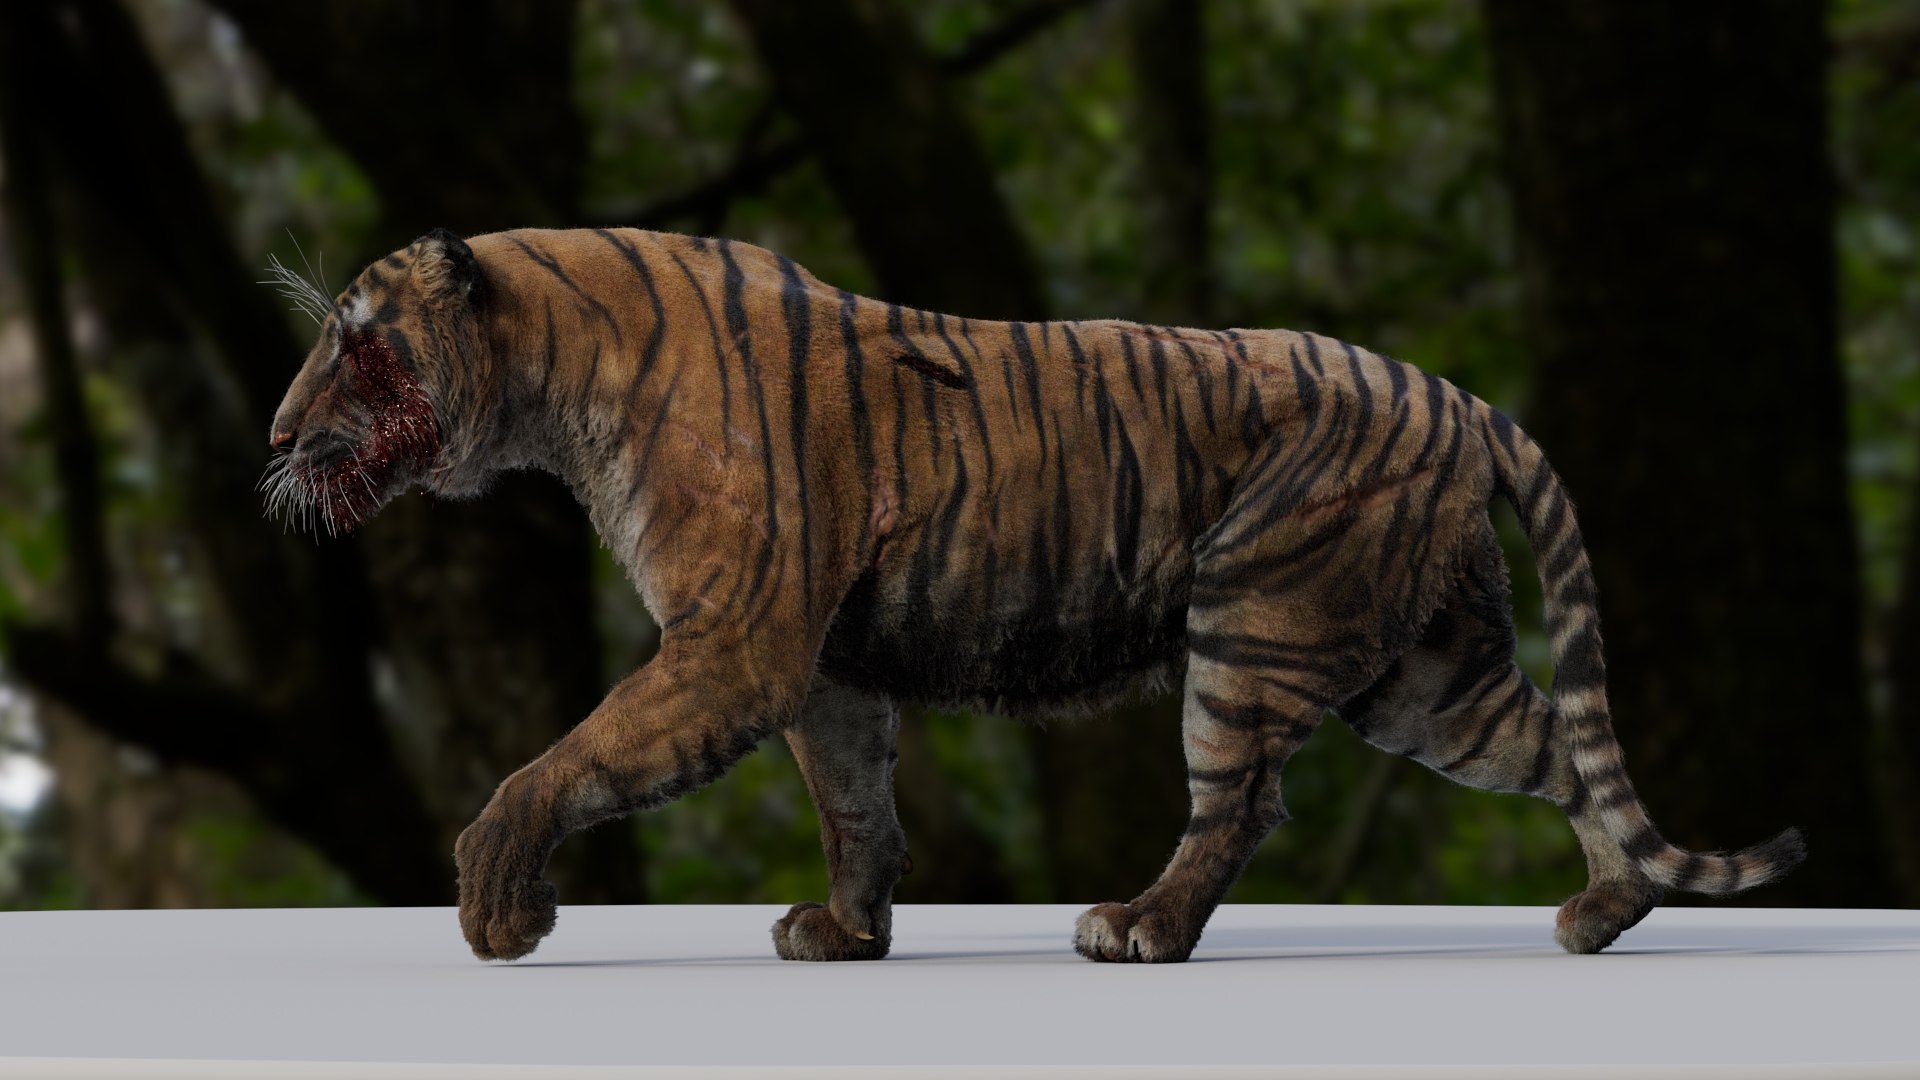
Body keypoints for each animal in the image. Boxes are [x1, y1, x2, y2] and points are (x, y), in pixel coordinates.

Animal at [263, 226, 1804, 964]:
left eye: (356, 349)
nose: (275, 436)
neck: (553, 386)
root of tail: (1457, 392)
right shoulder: (824, 665)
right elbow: (855, 805)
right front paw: (848, 936)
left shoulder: (734, 644)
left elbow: (562, 762)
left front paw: (496, 902)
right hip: (1425, 669)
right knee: (1559, 748)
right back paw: (1604, 912)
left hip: (1259, 623)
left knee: (1242, 802)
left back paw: (1140, 931)